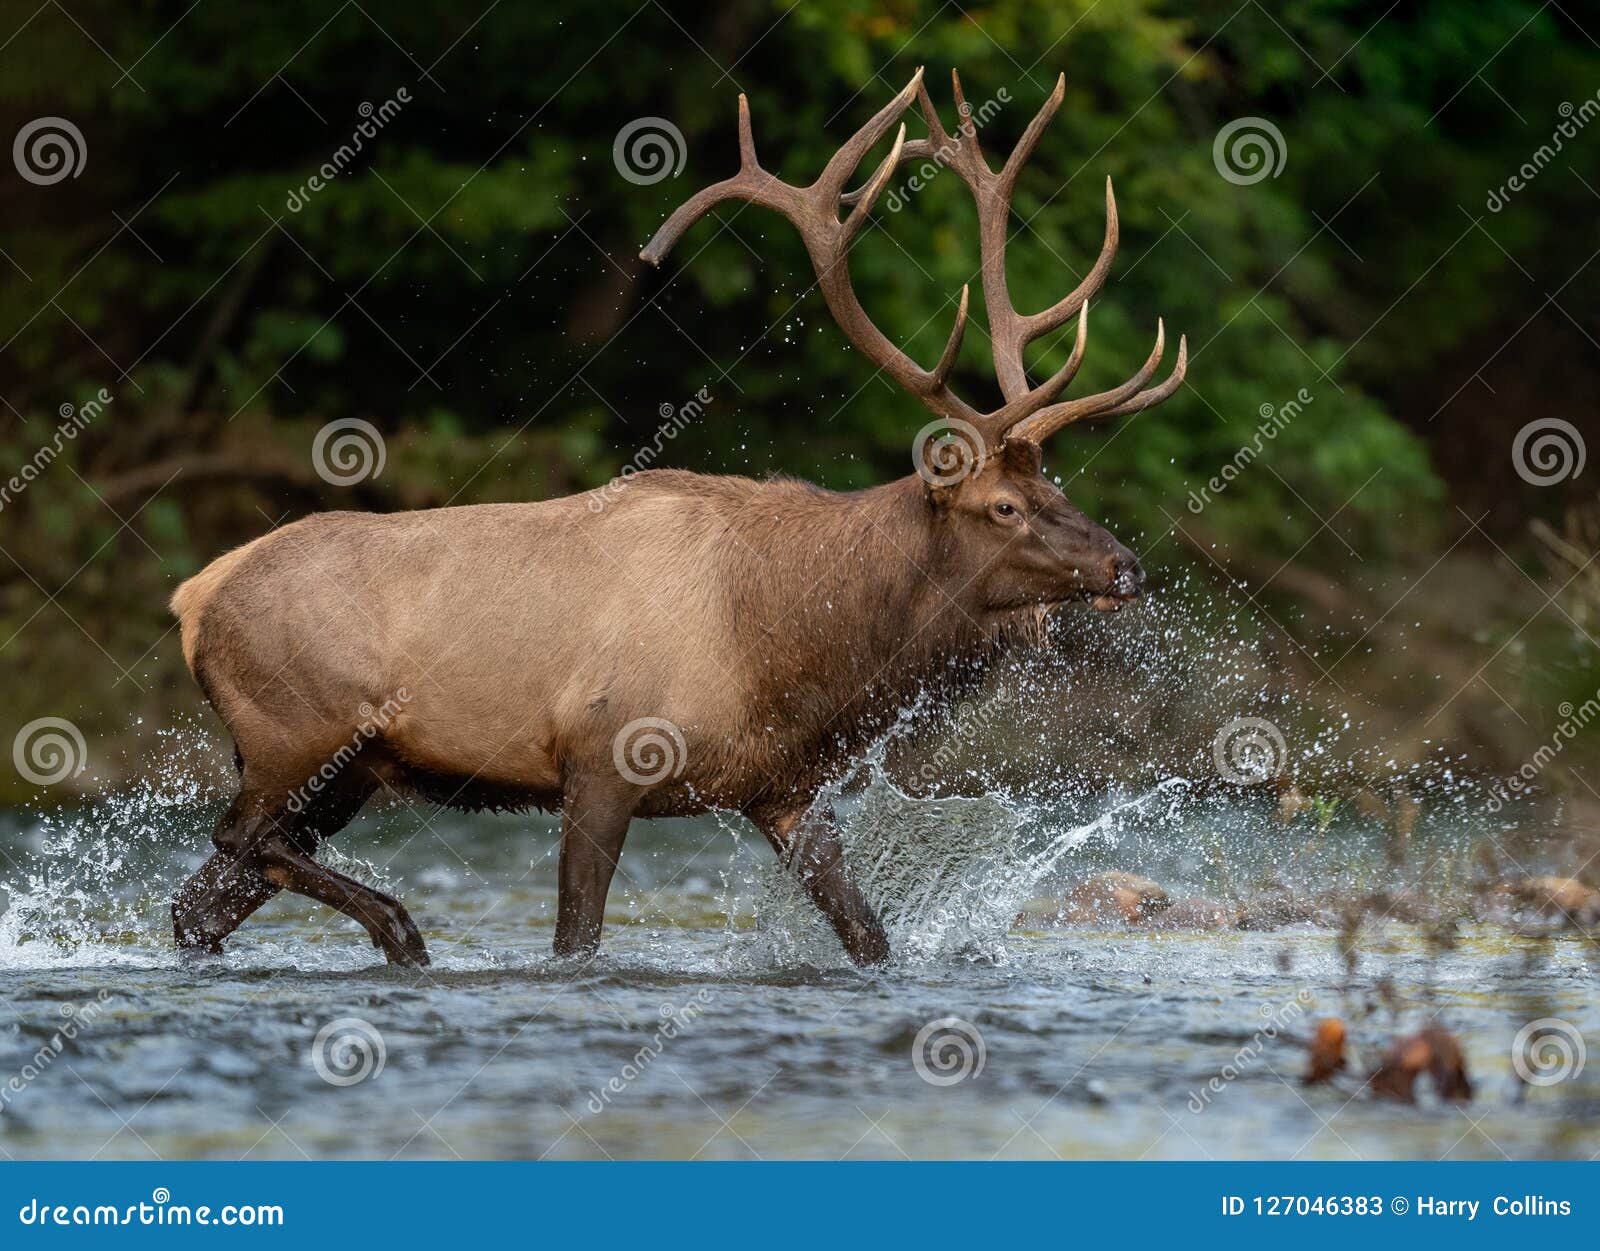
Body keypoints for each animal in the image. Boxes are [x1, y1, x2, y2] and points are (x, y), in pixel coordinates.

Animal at [169, 68, 1184, 969]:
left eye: (1060, 489)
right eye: (1004, 504)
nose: (1127, 566)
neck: (790, 654)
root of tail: (191, 597)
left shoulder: (782, 789)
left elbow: (869, 936)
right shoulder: (603, 756)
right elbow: (576, 940)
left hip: (339, 770)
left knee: (200, 902)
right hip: (298, 734)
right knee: (235, 840)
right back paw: (402, 930)